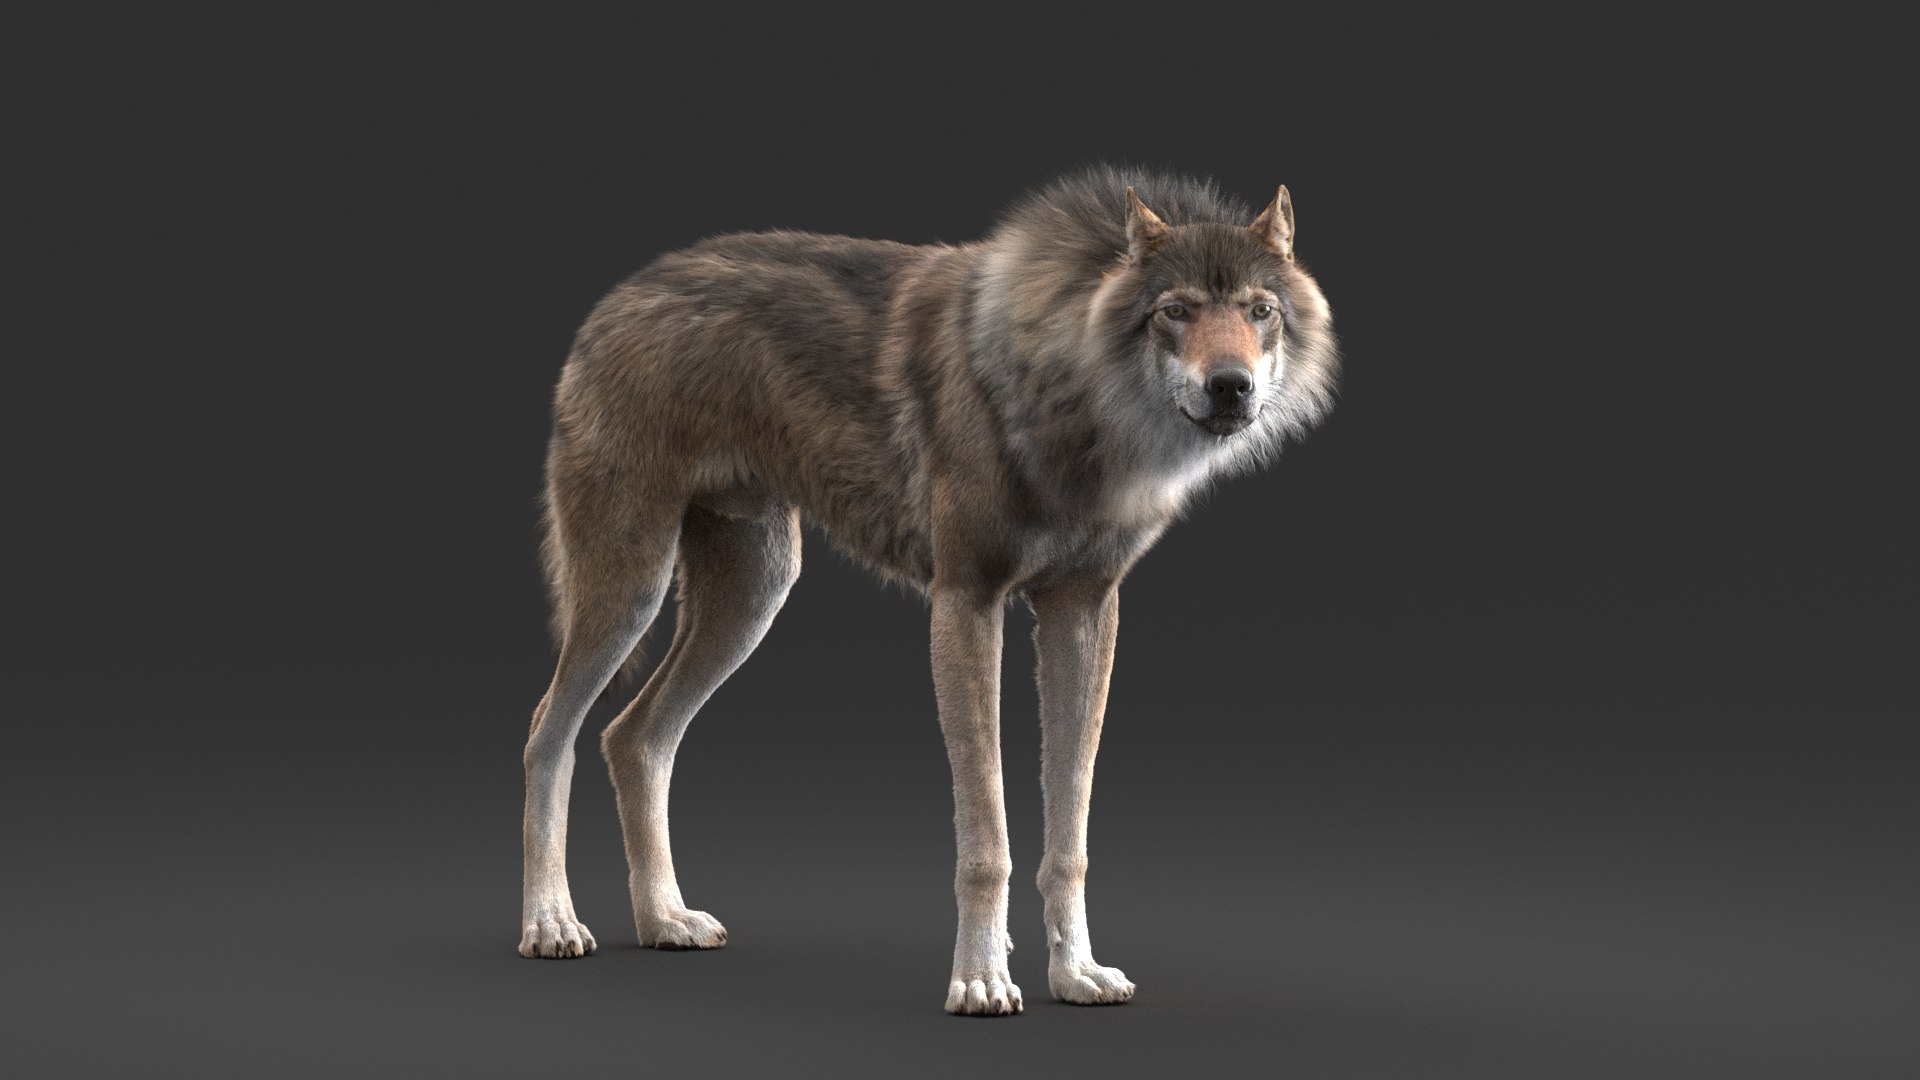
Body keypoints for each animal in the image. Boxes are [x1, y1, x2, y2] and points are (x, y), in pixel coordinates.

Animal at [518, 166, 1339, 1015]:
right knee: (550, 730)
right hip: (633, 585)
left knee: (635, 739)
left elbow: (1068, 836)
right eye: (1175, 310)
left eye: (1260, 310)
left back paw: (664, 920)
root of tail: (615, 298)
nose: (1231, 387)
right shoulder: (965, 601)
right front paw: (980, 978)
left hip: (751, 598)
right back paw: (552, 924)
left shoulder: (1083, 610)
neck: (1066, 392)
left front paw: (1076, 972)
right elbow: (987, 838)